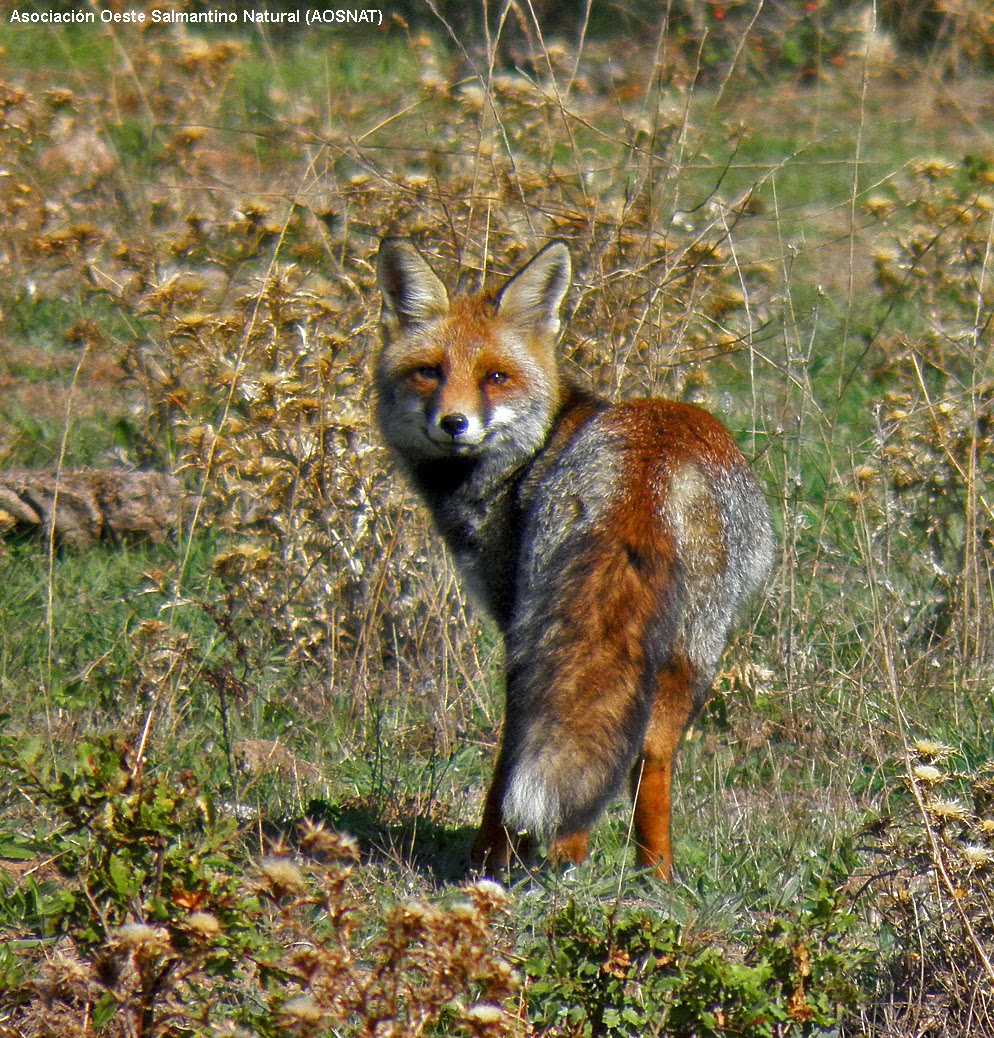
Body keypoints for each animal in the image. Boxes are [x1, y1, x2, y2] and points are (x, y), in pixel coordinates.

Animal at [374, 237, 774, 880]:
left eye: (495, 378)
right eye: (429, 371)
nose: (454, 423)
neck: (531, 452)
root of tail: (651, 457)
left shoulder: (510, 616)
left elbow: (508, 757)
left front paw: (488, 857)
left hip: (544, 633)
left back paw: (558, 859)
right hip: (698, 647)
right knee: (650, 751)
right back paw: (654, 874)